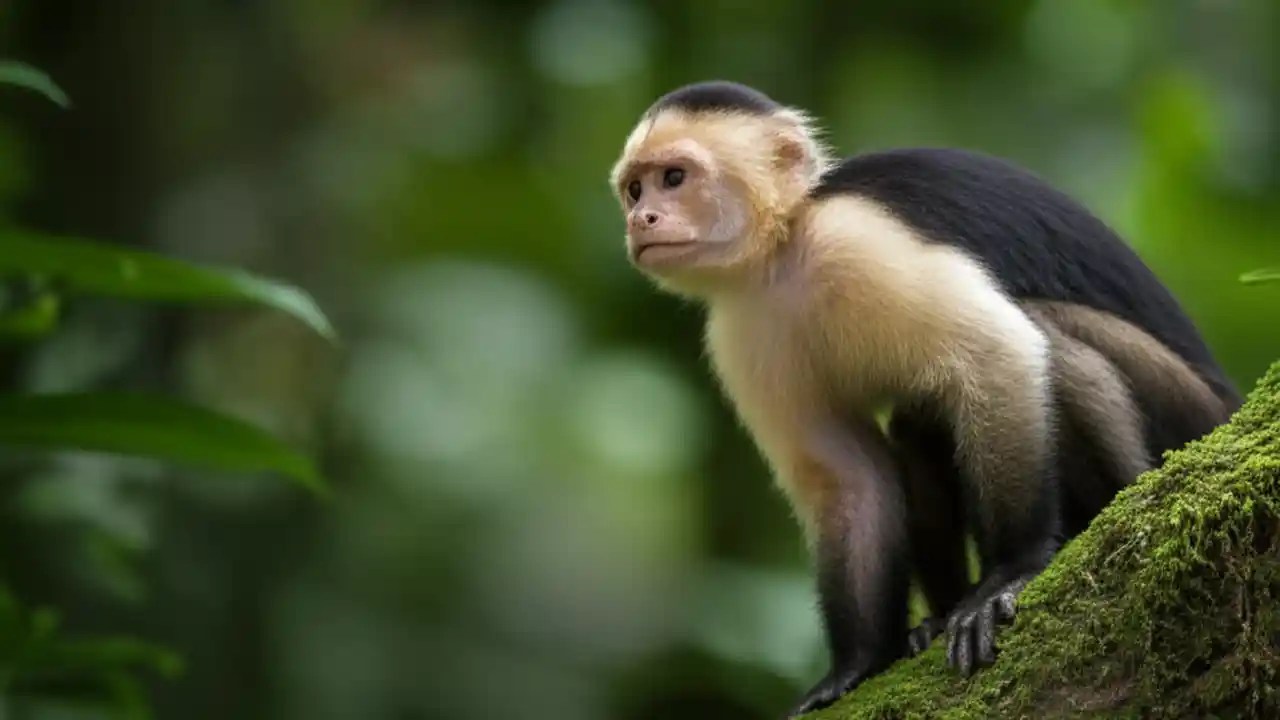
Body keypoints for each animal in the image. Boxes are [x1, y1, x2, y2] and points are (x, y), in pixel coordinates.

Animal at [607, 80, 1240, 716]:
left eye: (674, 178)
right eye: (635, 189)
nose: (642, 218)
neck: (785, 249)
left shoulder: (858, 240)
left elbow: (996, 353)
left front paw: (1012, 571)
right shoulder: (743, 328)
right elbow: (848, 476)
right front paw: (856, 665)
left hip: (1186, 413)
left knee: (1041, 341)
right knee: (918, 424)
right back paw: (935, 618)